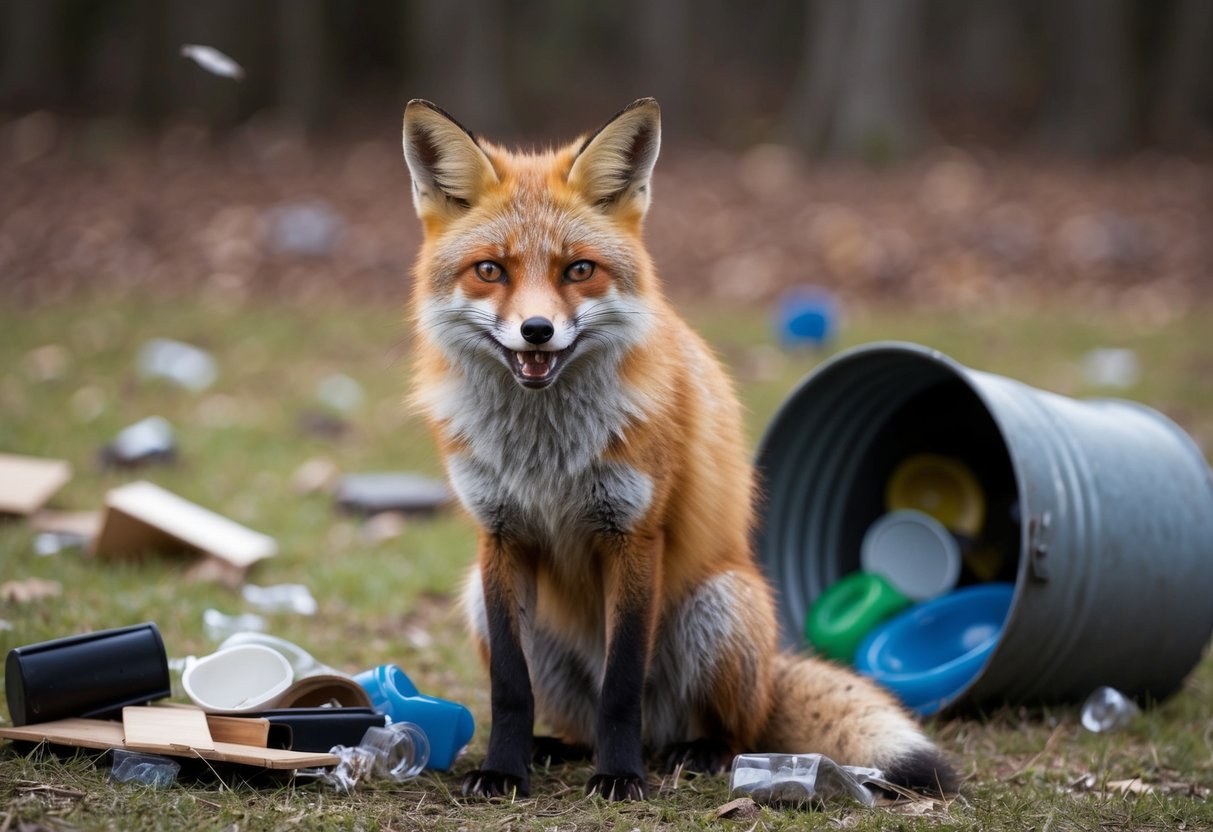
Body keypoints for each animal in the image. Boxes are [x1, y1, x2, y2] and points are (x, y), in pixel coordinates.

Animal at [402, 97, 959, 801]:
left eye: (578, 270)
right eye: (490, 271)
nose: (537, 330)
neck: (546, 455)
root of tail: (772, 671)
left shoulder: (636, 533)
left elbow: (621, 685)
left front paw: (619, 777)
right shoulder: (499, 536)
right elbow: (509, 685)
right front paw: (504, 770)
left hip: (721, 606)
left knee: (729, 729)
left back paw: (694, 752)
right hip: (479, 594)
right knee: (574, 718)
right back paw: (555, 747)